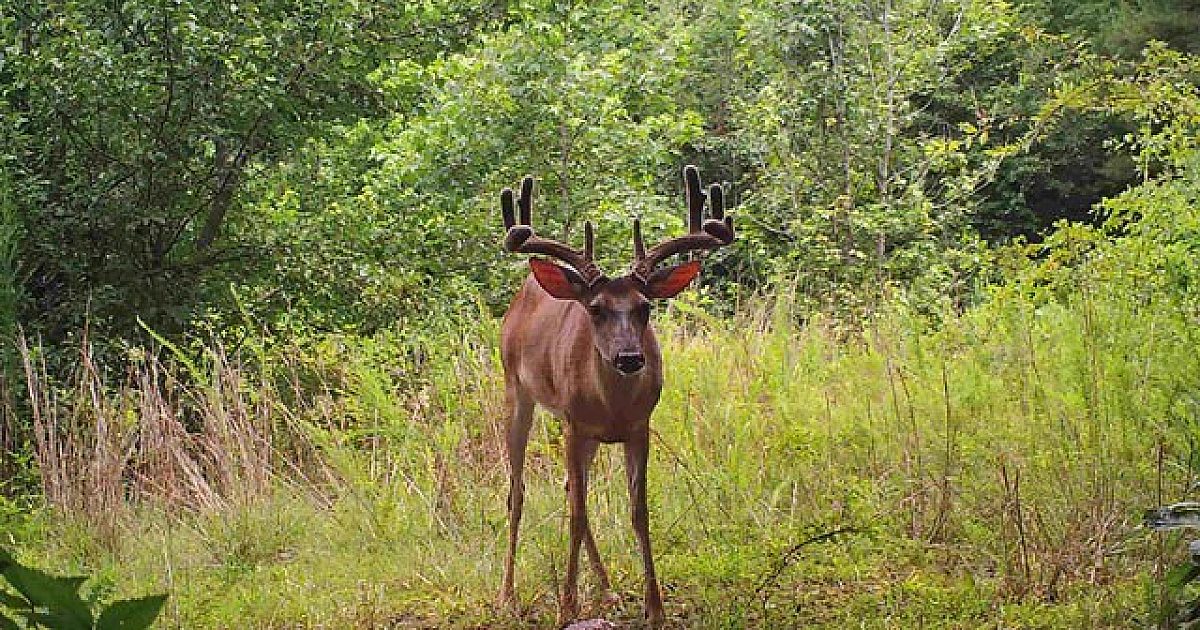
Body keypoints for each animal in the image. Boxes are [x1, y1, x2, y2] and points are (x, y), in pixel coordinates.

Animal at [496, 165, 734, 626]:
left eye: (646, 307)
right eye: (596, 309)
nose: (629, 357)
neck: (611, 408)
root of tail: (527, 291)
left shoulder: (640, 427)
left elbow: (638, 511)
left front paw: (655, 608)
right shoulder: (573, 424)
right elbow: (576, 513)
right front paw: (567, 607)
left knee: (568, 486)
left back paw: (606, 588)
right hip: (517, 390)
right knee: (518, 492)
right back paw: (508, 594)